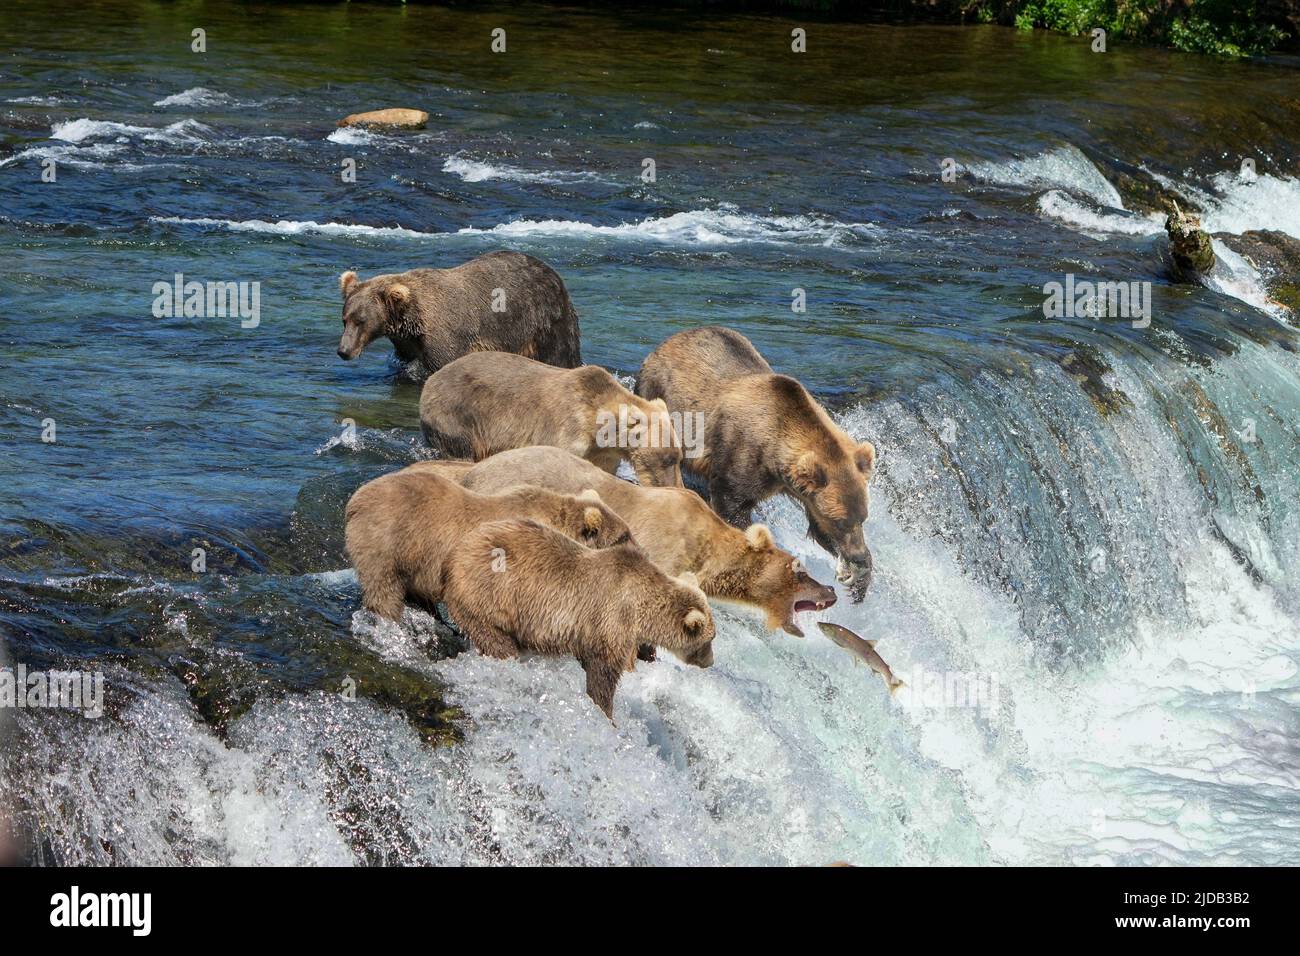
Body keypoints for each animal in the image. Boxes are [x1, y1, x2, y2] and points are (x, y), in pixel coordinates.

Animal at [336, 250, 582, 376]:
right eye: (345, 320)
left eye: (361, 321)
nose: (343, 351)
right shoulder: (406, 345)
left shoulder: (446, 340)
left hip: (546, 322)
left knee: (561, 355)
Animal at [419, 351, 684, 487]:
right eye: (667, 458)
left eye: (678, 456)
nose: (676, 487)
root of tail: (430, 380)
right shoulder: (564, 433)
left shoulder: (603, 455)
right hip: (456, 416)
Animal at [441, 517, 716, 718]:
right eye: (709, 639)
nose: (710, 662)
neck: (642, 609)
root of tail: (457, 551)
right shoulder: (612, 618)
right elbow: (603, 673)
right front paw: (607, 713)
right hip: (487, 596)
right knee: (495, 639)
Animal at [637, 326, 877, 600]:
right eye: (841, 520)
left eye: (863, 517)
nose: (857, 555)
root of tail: (672, 338)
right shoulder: (743, 454)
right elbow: (733, 505)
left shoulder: (804, 492)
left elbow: (818, 528)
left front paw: (861, 579)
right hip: (659, 391)